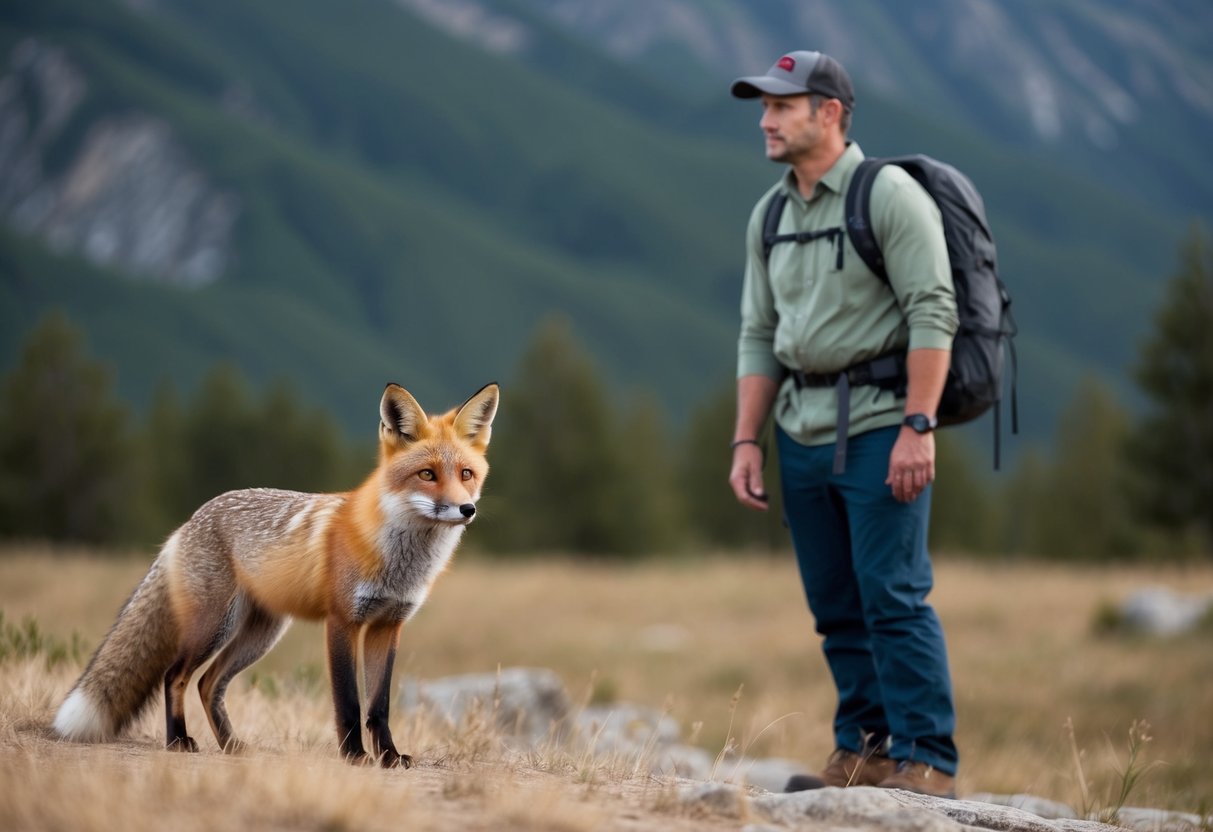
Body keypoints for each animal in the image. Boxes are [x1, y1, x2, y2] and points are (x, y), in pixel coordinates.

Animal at [53, 382, 499, 768]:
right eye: (427, 474)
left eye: (466, 474)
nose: (467, 510)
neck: (399, 563)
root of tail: (191, 519)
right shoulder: (343, 621)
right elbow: (350, 702)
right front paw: (355, 756)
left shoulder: (388, 625)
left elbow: (379, 705)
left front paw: (389, 757)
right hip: (214, 626)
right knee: (175, 676)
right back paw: (178, 740)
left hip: (260, 634)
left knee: (208, 684)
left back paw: (231, 745)